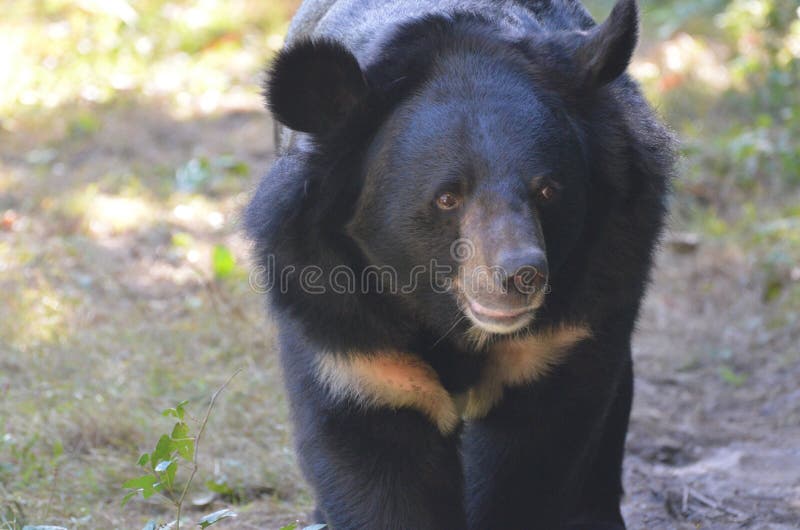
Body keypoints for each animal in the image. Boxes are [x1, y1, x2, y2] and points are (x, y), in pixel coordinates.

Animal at [244, 0, 675, 528]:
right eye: (448, 197)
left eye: (547, 190)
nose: (521, 276)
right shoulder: (348, 337)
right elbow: (377, 462)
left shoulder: (572, 318)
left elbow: (533, 457)